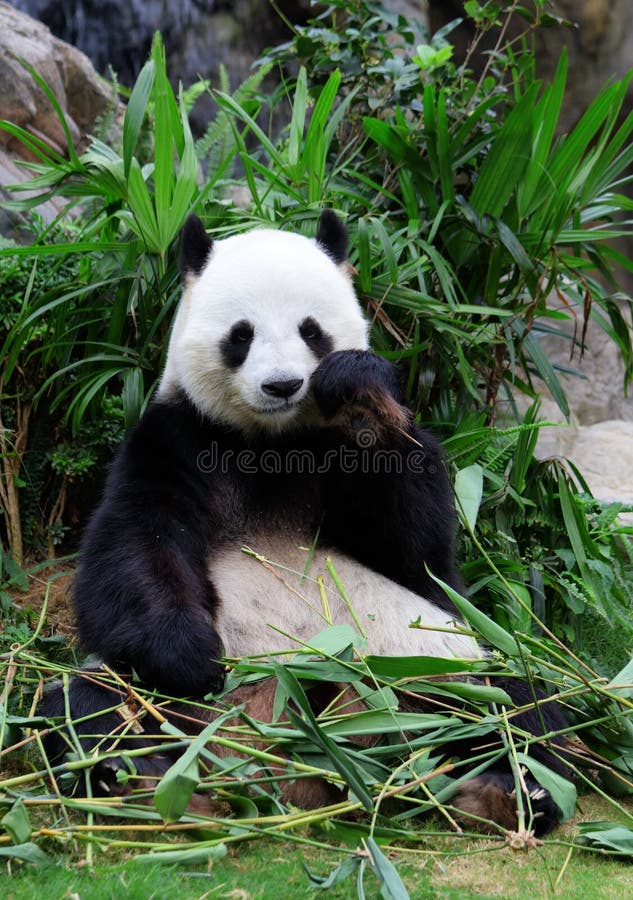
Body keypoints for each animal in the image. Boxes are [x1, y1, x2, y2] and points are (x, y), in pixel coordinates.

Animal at [43, 211, 568, 834]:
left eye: (311, 330)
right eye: (241, 334)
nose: (282, 385)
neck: (272, 443)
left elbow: (422, 555)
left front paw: (359, 393)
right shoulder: (177, 439)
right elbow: (134, 548)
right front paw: (191, 655)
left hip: (431, 668)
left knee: (518, 703)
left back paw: (508, 791)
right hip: (178, 706)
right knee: (90, 705)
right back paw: (140, 783)